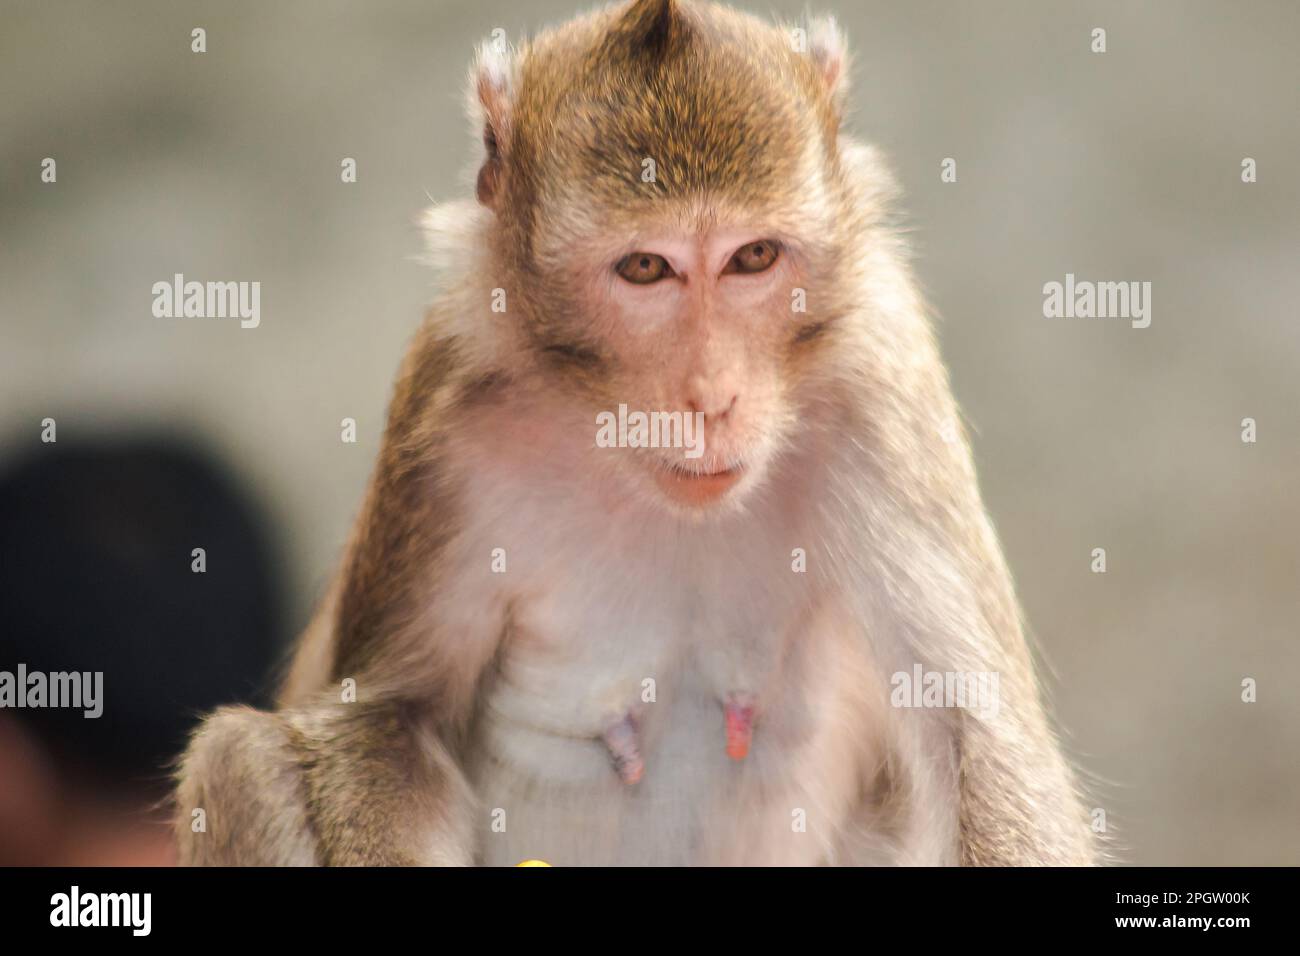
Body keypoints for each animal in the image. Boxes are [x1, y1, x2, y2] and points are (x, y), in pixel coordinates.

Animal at [175, 0, 1097, 867]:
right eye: (647, 268)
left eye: (753, 258)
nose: (711, 397)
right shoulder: (443, 416)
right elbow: (388, 719)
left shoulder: (884, 385)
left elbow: (978, 741)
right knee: (237, 755)